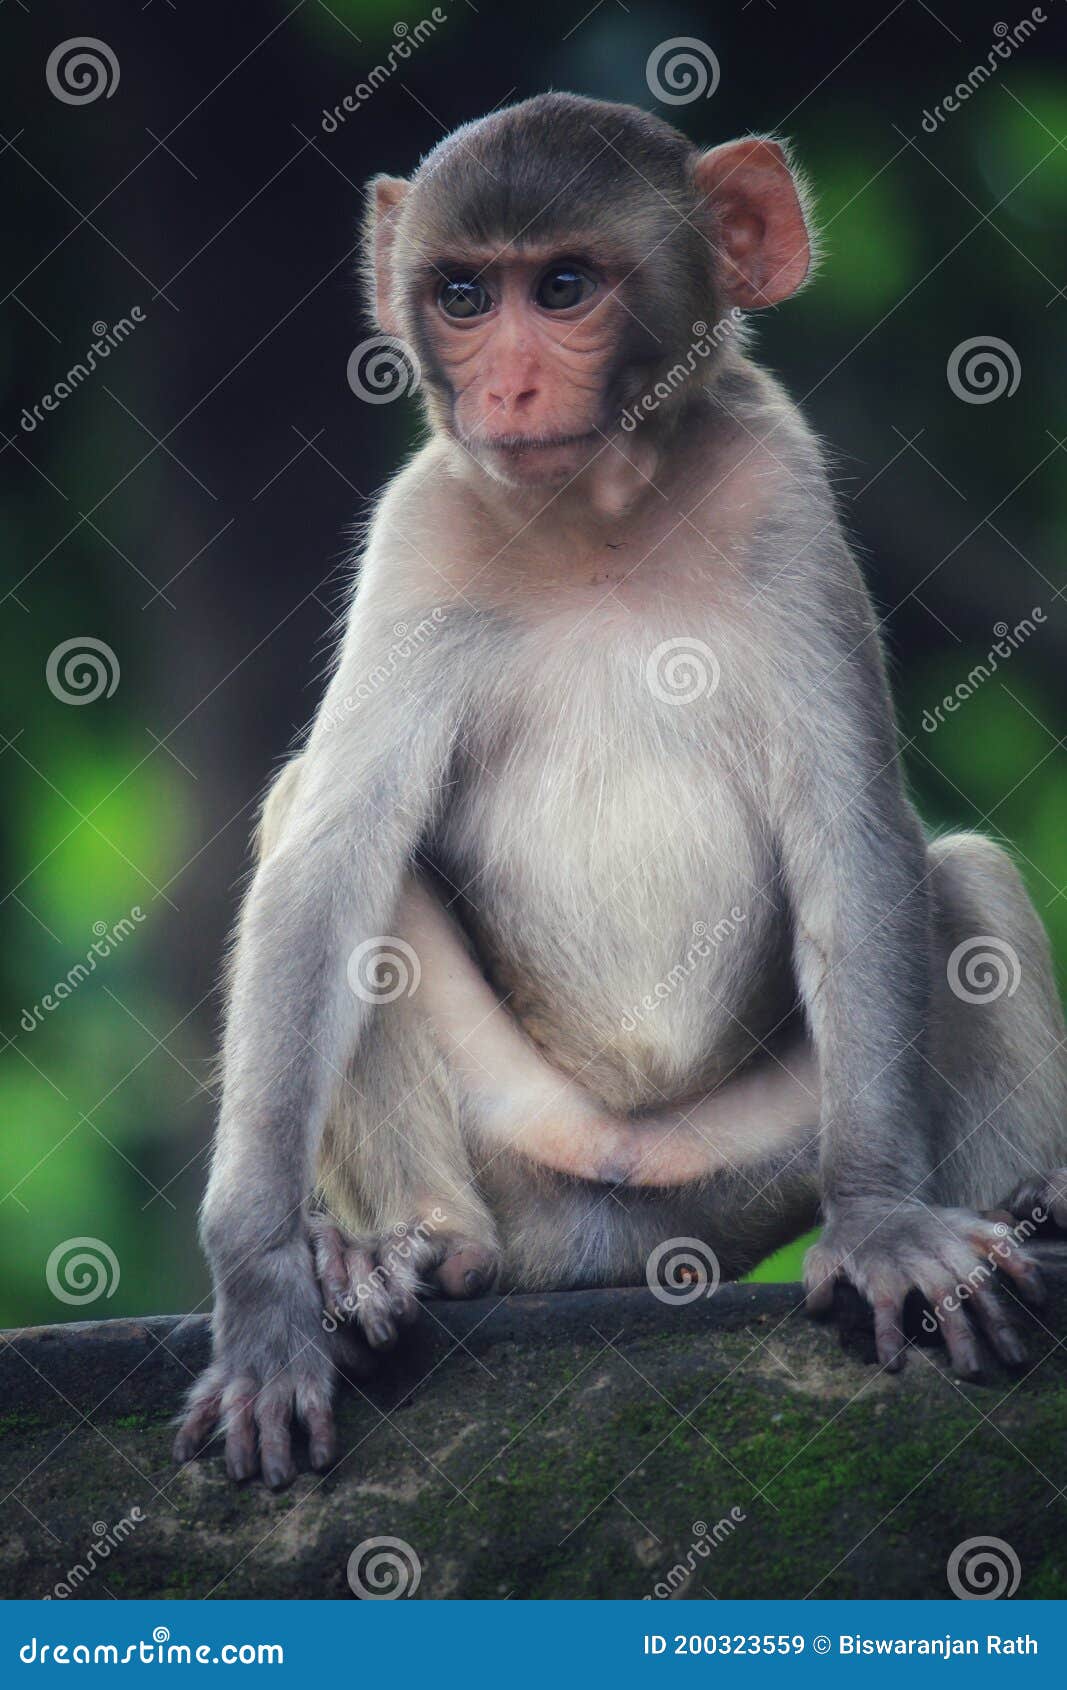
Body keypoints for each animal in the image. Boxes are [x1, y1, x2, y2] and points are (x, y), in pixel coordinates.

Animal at [174, 94, 1067, 1490]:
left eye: (565, 287)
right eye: (464, 294)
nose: (505, 385)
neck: (597, 512)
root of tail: (620, 1235)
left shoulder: (778, 489)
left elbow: (855, 841)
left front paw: (882, 1222)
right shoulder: (420, 524)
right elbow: (328, 867)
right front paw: (264, 1296)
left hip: (739, 1170)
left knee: (960, 884)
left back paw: (1021, 1207)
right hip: (519, 1150)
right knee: (333, 860)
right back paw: (401, 1252)